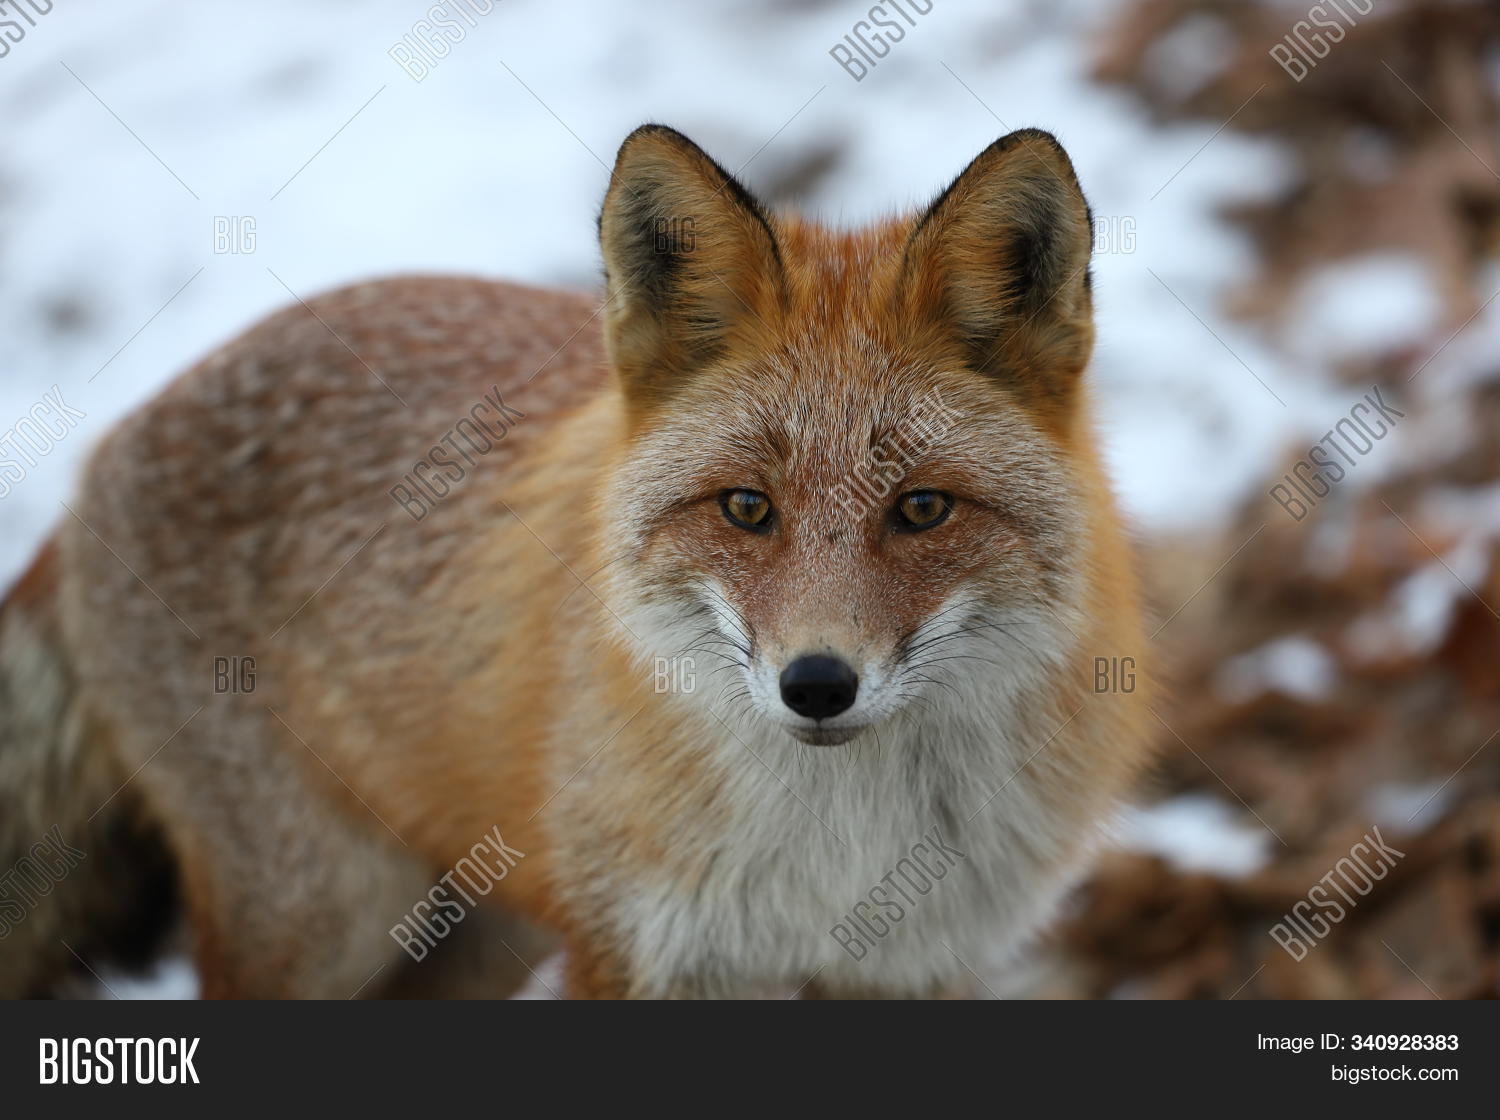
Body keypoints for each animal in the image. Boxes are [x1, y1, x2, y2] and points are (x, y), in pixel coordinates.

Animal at [0, 124, 1152, 999]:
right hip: (323, 914)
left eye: (922, 508)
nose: (817, 684)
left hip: (478, 935)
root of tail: (104, 453)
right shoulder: (642, 953)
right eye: (747, 508)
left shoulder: (916, 968)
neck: (835, 856)